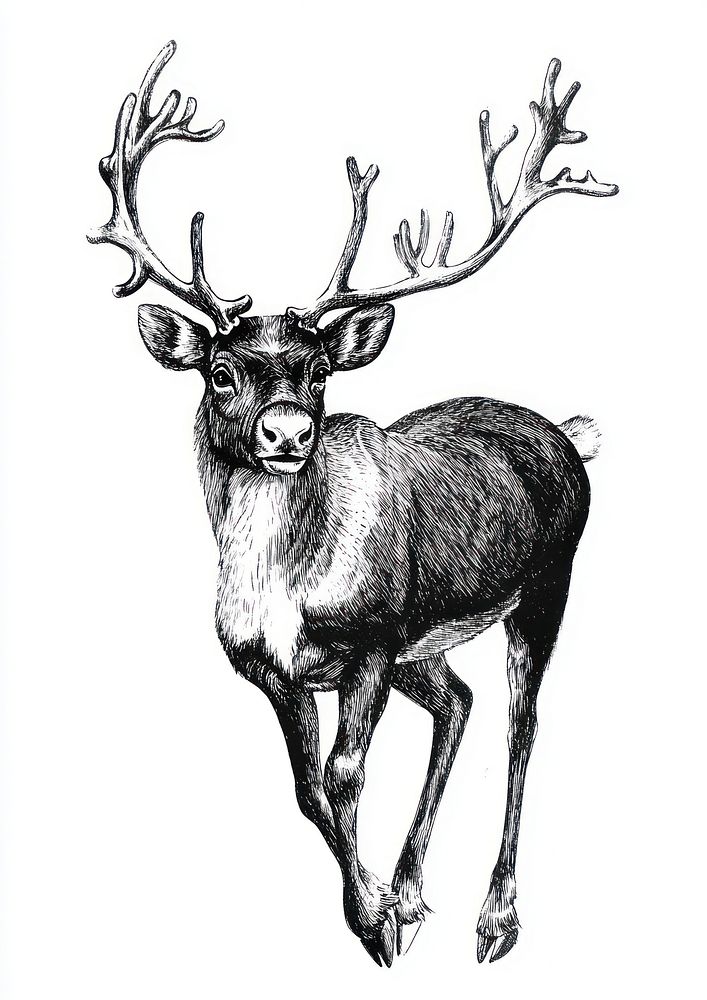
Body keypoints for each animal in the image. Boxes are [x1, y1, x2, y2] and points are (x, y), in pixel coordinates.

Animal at [89, 41, 617, 967]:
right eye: (219, 372)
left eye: (320, 370)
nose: (287, 432)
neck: (283, 586)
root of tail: (566, 432)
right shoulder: (275, 671)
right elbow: (308, 790)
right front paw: (379, 907)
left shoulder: (369, 638)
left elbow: (344, 775)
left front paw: (370, 921)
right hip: (424, 645)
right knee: (459, 702)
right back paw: (412, 887)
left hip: (545, 583)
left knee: (521, 721)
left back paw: (496, 916)